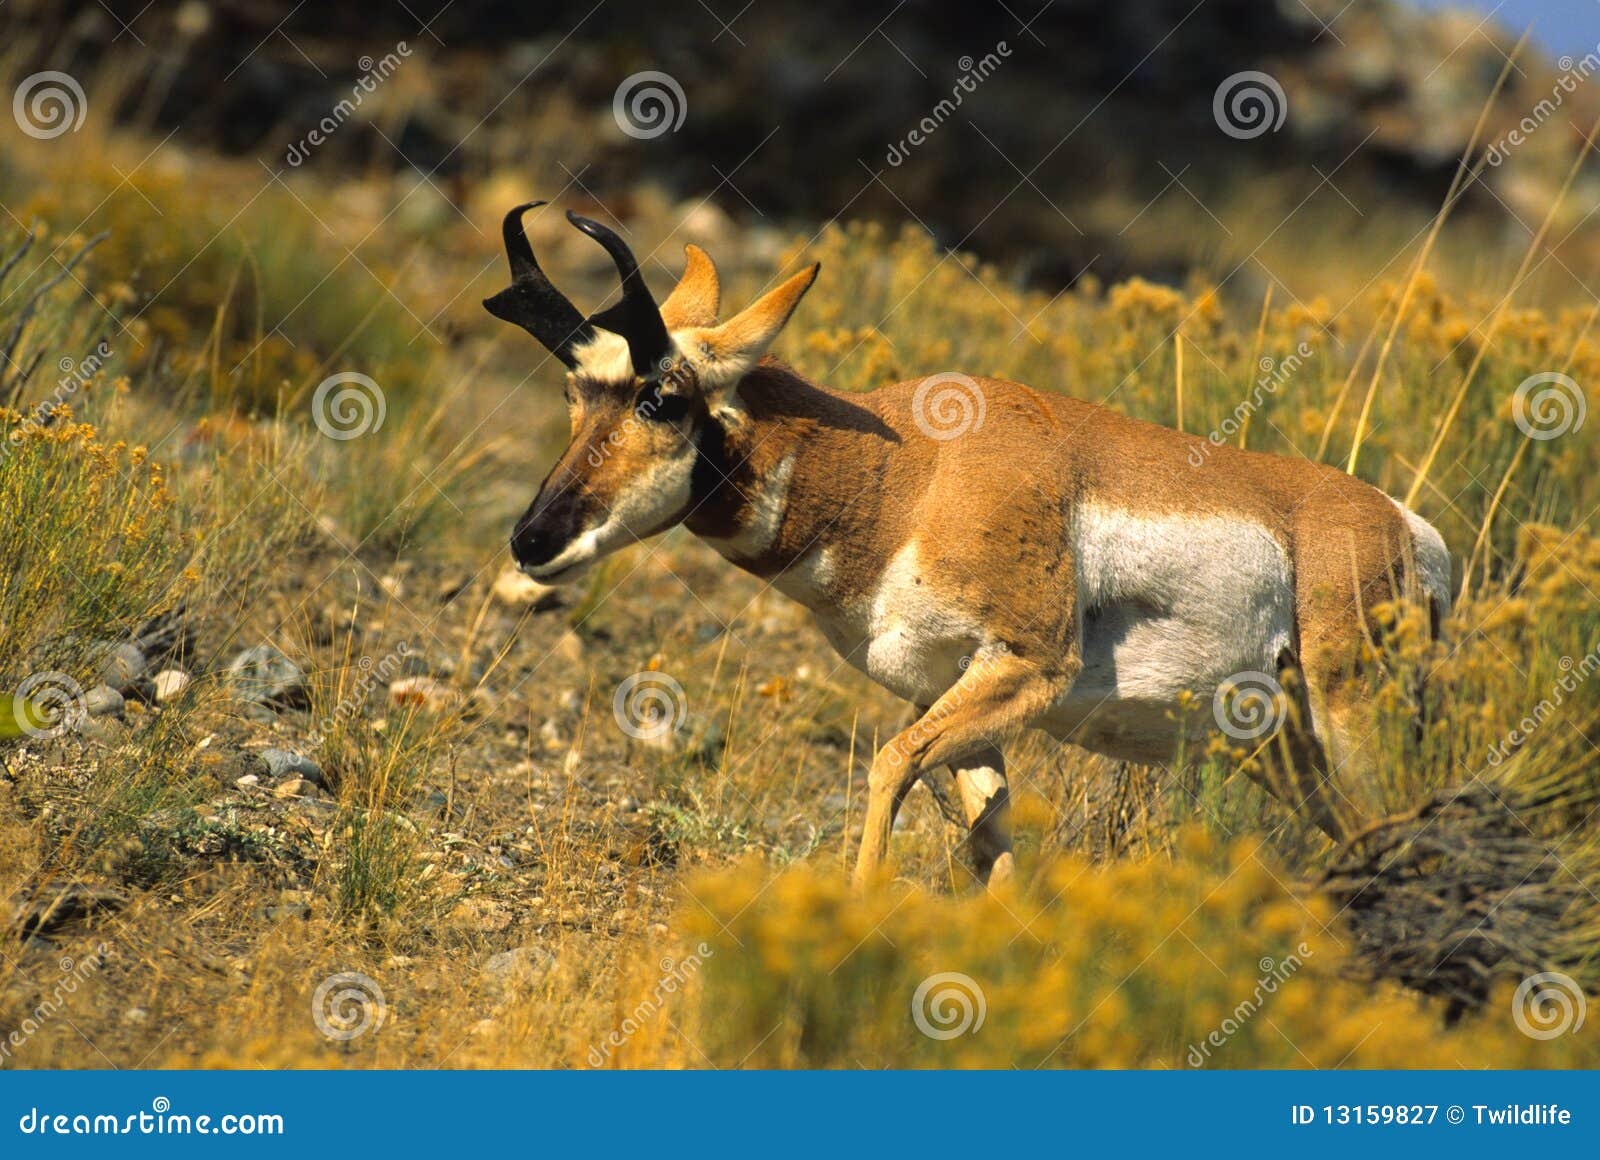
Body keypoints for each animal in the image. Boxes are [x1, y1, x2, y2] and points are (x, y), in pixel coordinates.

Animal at [485, 202, 1453, 888]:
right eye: (574, 395)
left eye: (662, 399)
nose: (533, 540)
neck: (915, 472)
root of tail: (1404, 525)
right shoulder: (949, 693)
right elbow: (992, 838)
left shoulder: (1027, 667)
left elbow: (888, 766)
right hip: (1284, 752)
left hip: (1351, 717)